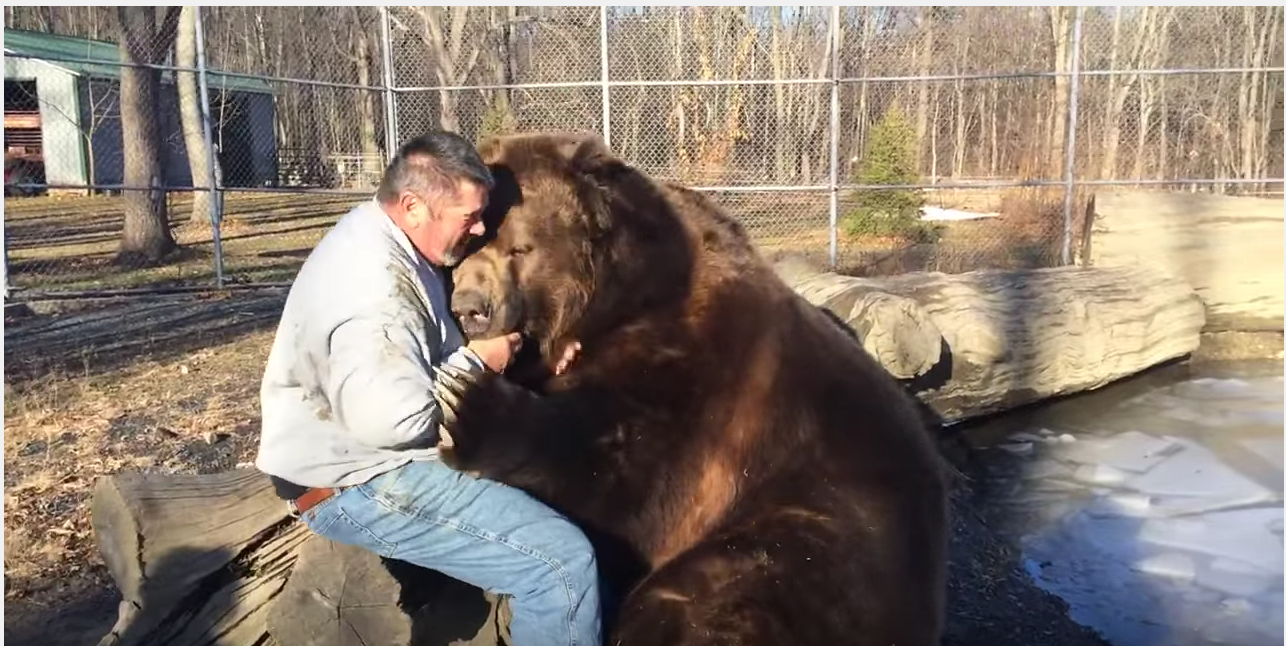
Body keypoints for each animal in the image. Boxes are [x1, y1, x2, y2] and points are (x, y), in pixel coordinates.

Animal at [433, 131, 951, 646]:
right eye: (465, 251)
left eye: (519, 248)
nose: (470, 308)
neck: (617, 304)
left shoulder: (699, 382)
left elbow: (630, 476)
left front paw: (469, 403)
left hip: (815, 529)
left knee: (702, 598)